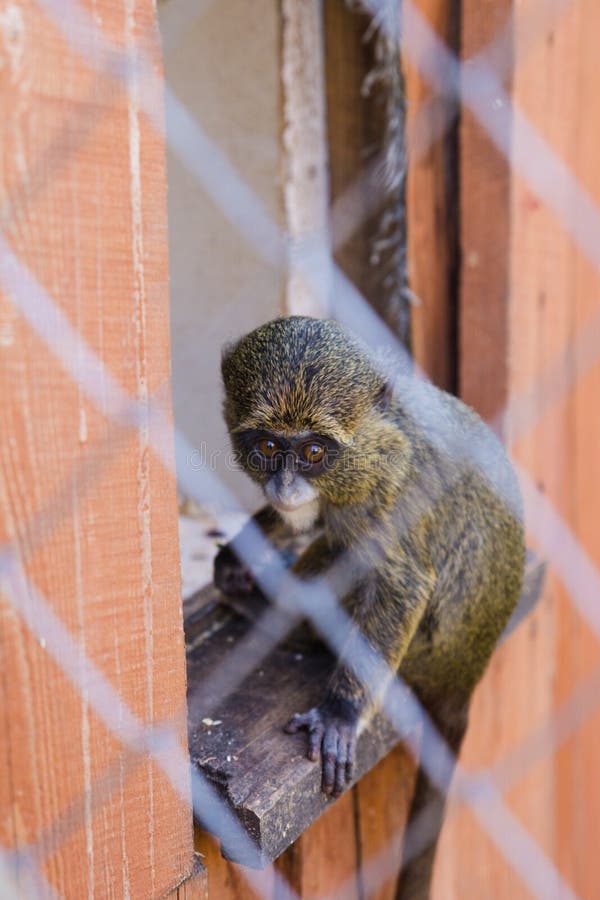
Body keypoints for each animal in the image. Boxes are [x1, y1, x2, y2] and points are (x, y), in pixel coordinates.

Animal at [213, 315, 525, 899]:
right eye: (267, 445)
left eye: (314, 453)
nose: (284, 485)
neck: (380, 435)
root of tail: (466, 669)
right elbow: (311, 519)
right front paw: (237, 553)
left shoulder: (387, 494)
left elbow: (400, 584)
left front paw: (341, 713)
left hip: (424, 648)